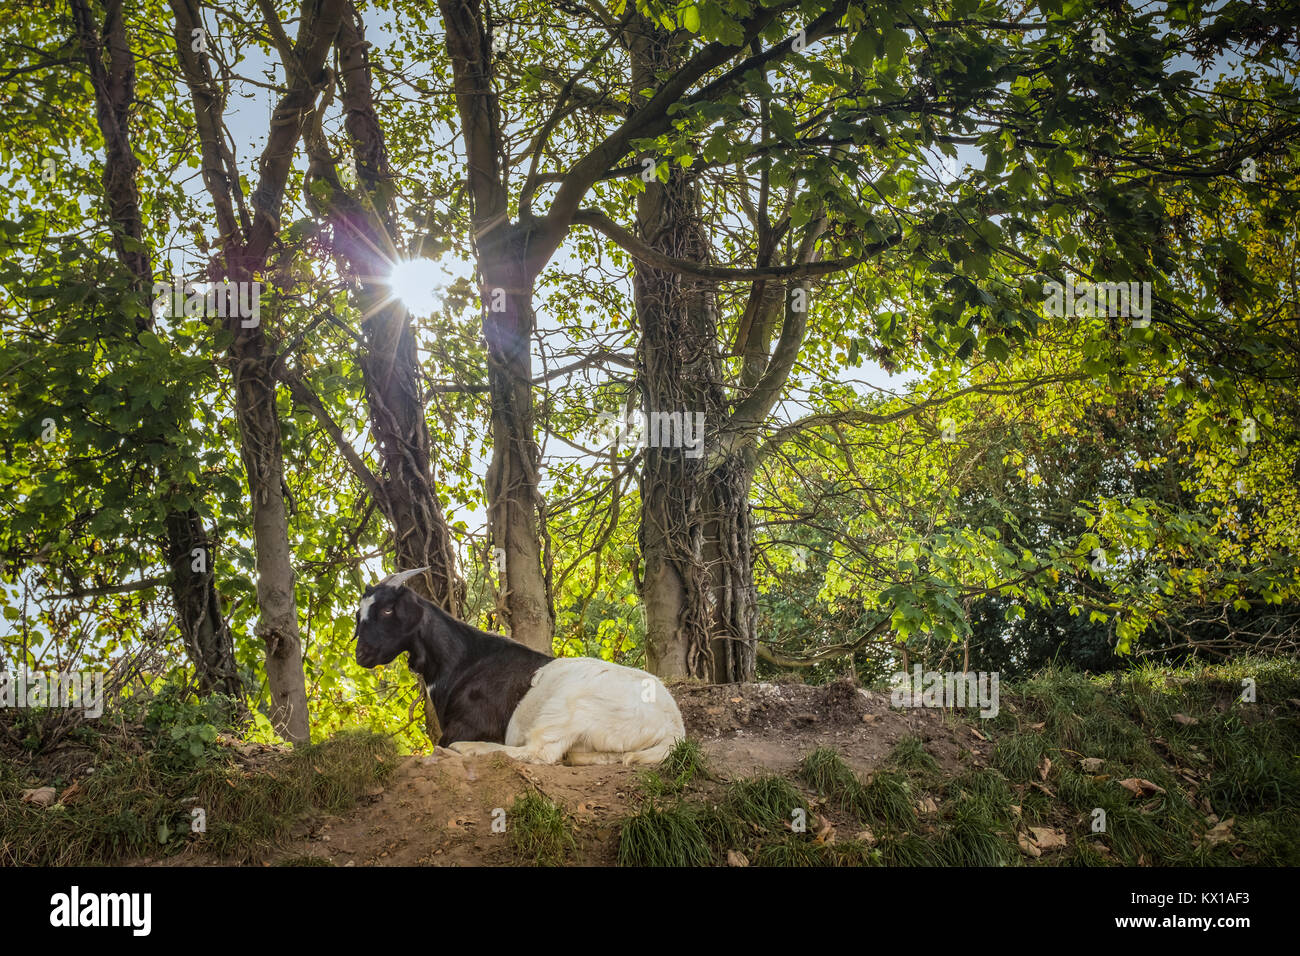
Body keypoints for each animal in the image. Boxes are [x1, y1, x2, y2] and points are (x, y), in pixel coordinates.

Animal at [354, 567, 685, 765]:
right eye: (359, 614)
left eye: (387, 609)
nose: (361, 655)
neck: (463, 662)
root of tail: (673, 726)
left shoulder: (470, 724)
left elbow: (444, 742)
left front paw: (462, 747)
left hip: (569, 707)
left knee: (540, 751)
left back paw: (470, 750)